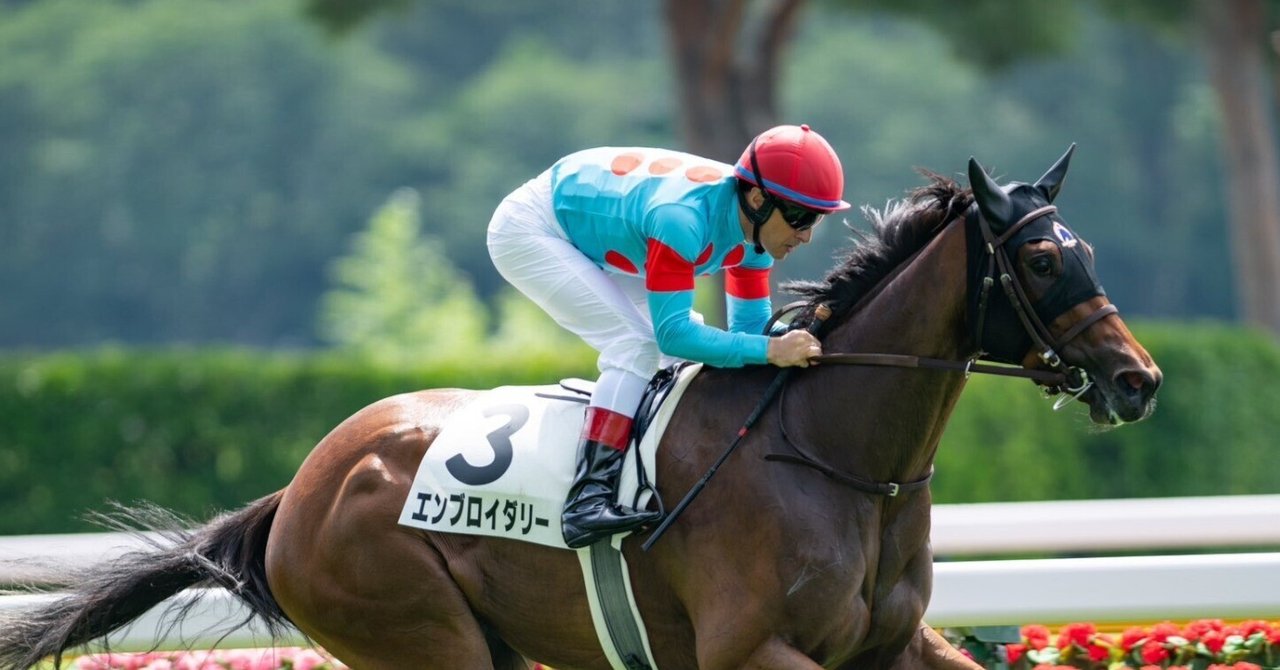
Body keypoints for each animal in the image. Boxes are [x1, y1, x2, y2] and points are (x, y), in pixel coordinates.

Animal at [0, 147, 1161, 670]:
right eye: (1043, 260)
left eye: (1089, 250)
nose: (1136, 378)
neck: (838, 461)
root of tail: (299, 487)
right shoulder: (752, 652)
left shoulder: (891, 648)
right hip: (421, 635)